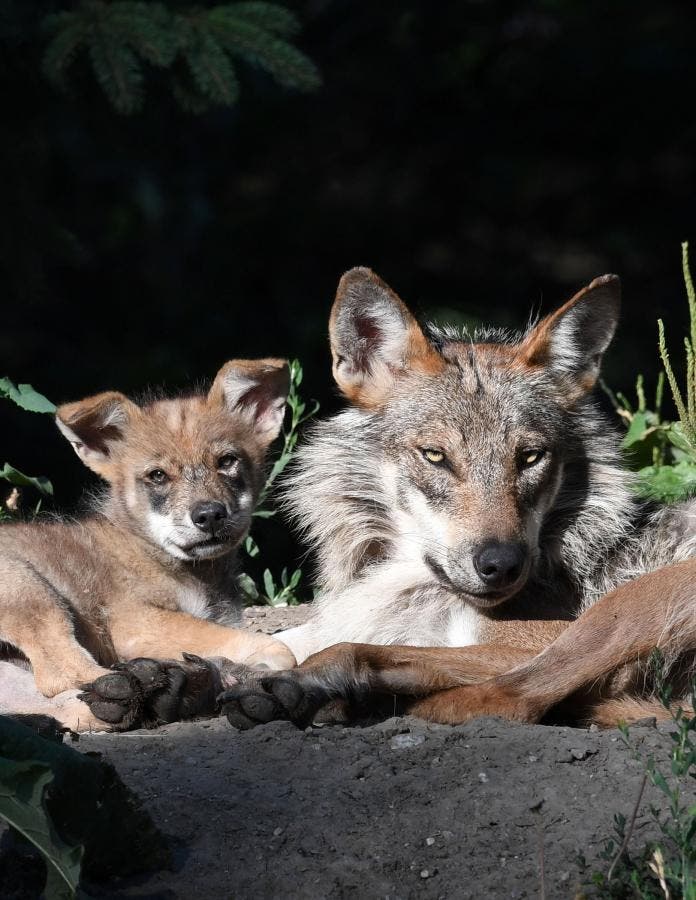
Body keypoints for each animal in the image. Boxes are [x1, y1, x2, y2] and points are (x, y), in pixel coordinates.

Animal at [0, 359, 296, 732]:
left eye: (227, 461)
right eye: (157, 475)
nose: (210, 515)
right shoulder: (136, 622)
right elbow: (278, 648)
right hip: (31, 591)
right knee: (66, 676)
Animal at [219, 267, 696, 730]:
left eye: (530, 457)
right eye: (435, 455)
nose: (501, 565)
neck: (409, 586)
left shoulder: (533, 640)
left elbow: (352, 647)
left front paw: (298, 686)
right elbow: (277, 642)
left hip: (632, 602)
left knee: (509, 698)